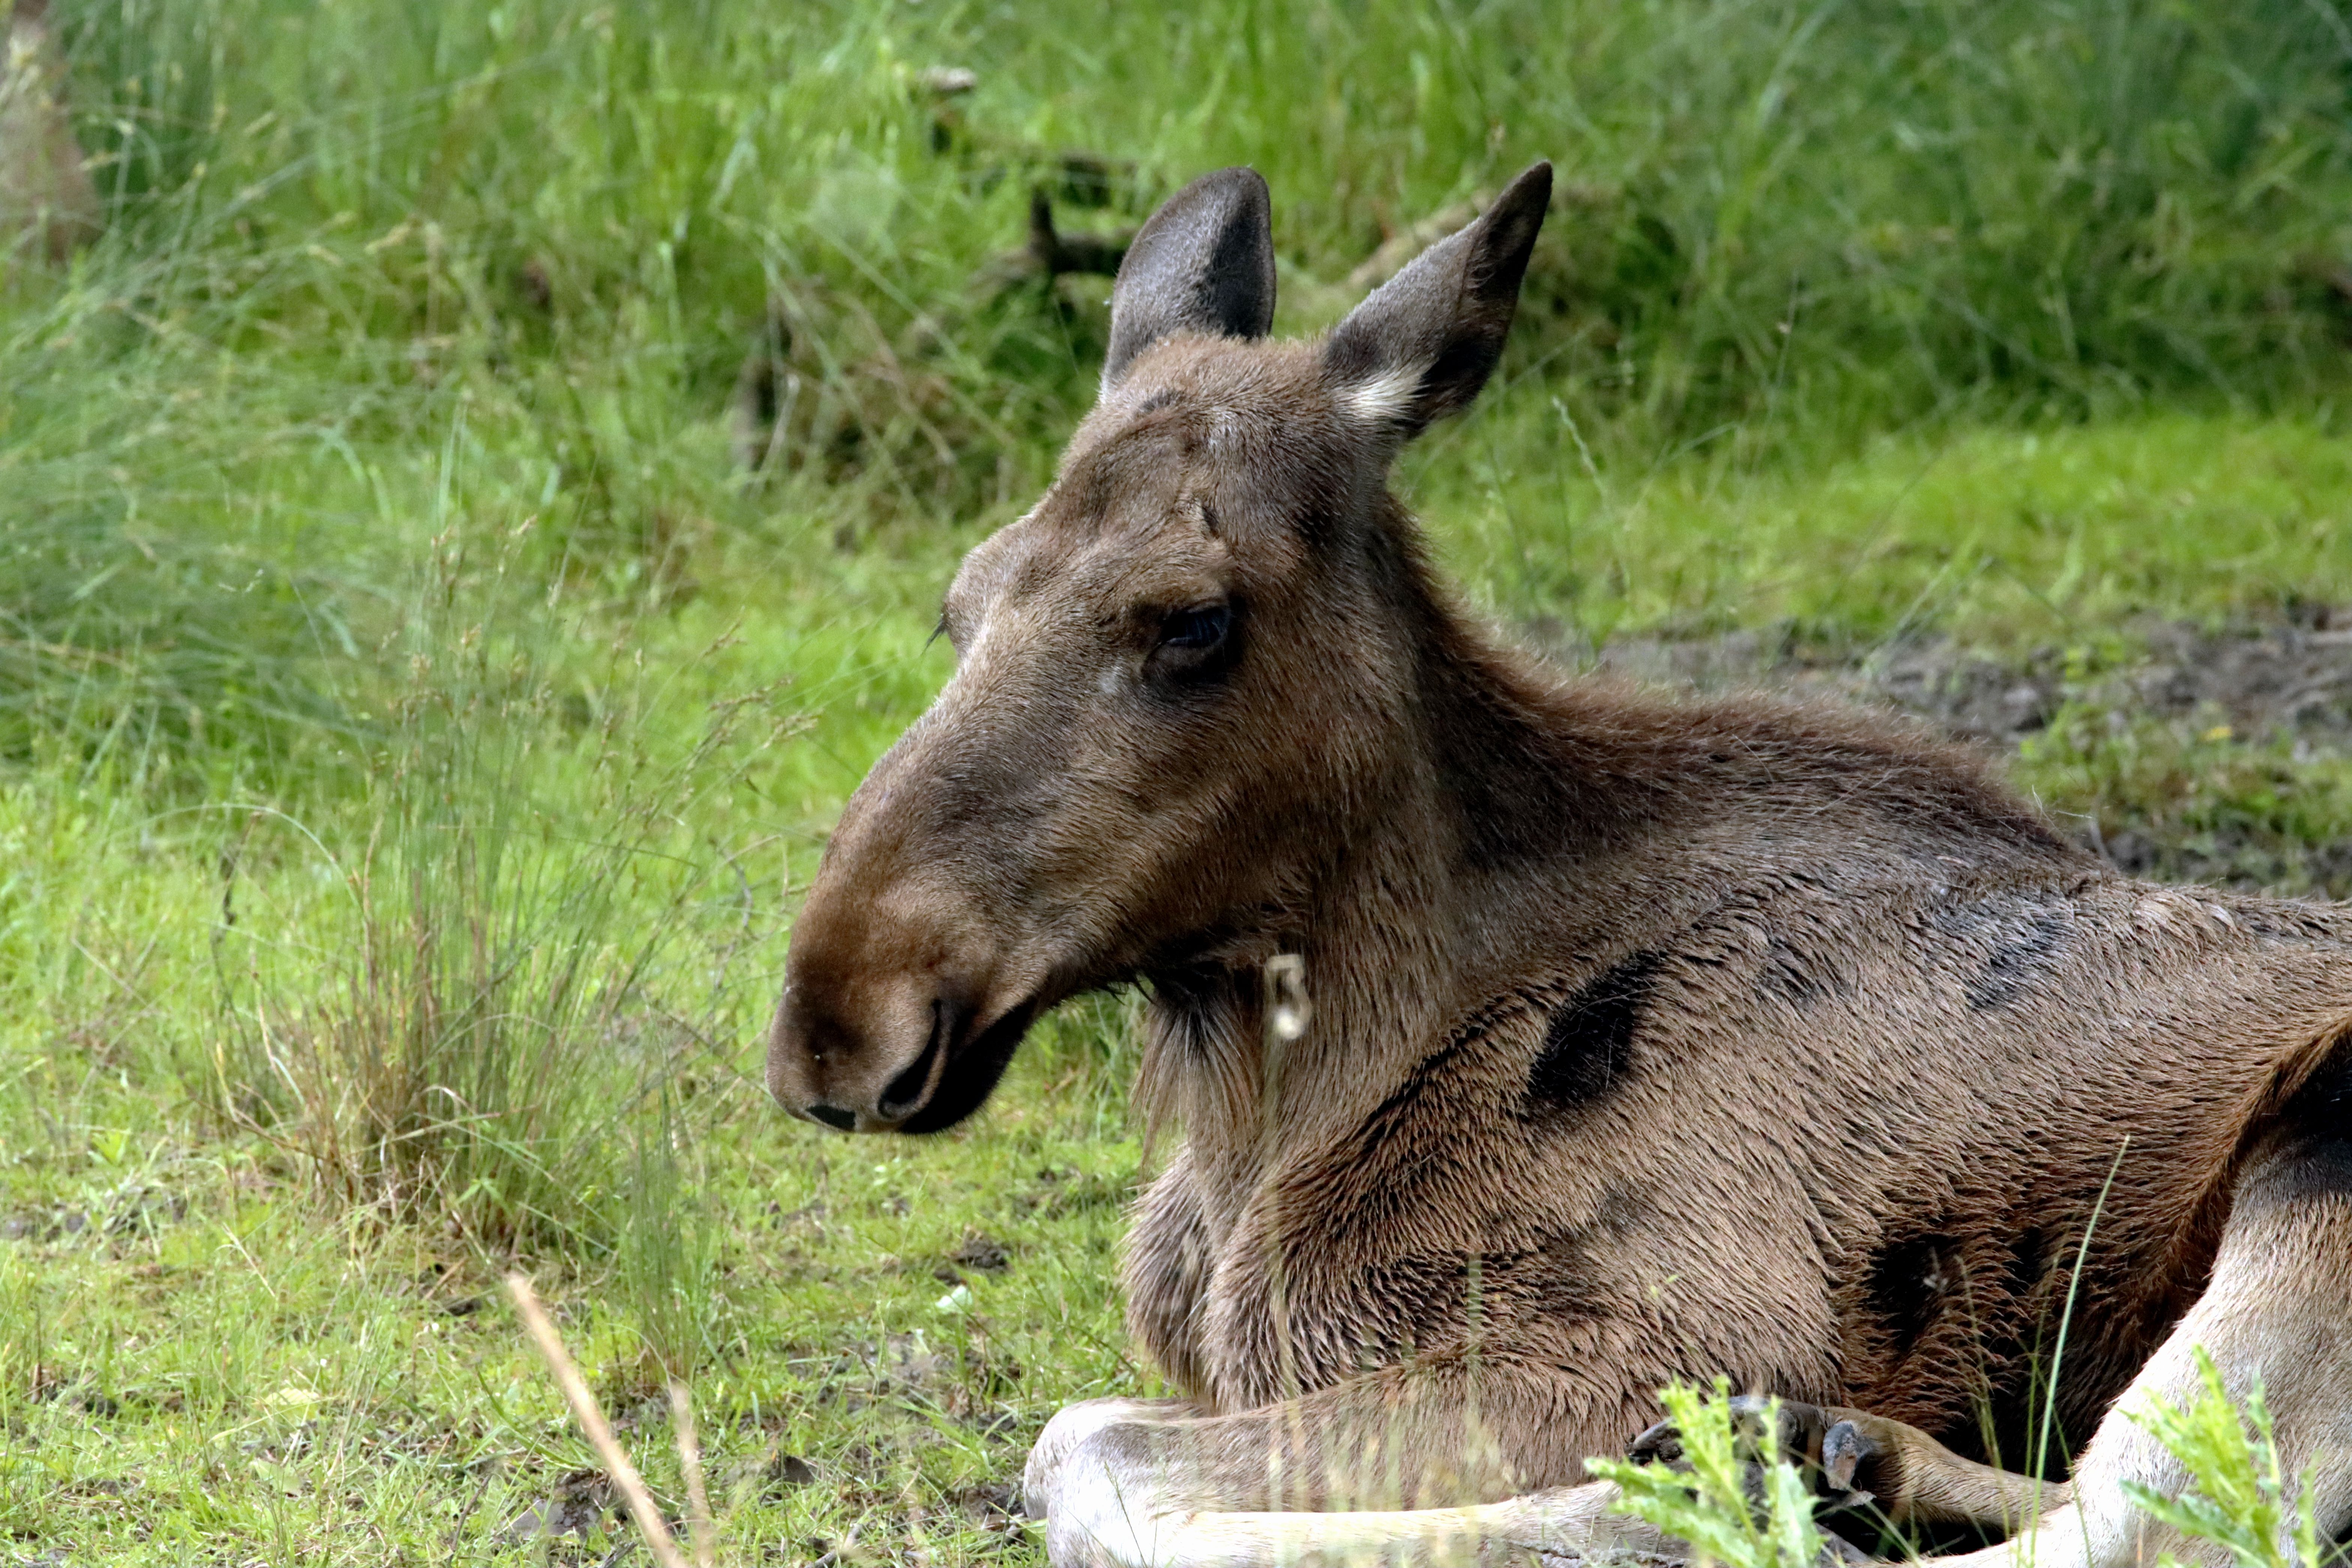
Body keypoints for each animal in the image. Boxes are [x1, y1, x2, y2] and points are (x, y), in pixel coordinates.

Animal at [765, 161, 2352, 1568]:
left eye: (1192, 620)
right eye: (962, 599)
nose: (841, 1018)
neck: (1274, 1116)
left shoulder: (1652, 1333)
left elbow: (1096, 1460)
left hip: (2317, 1171)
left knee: (2153, 1532)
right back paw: (1835, 1463)